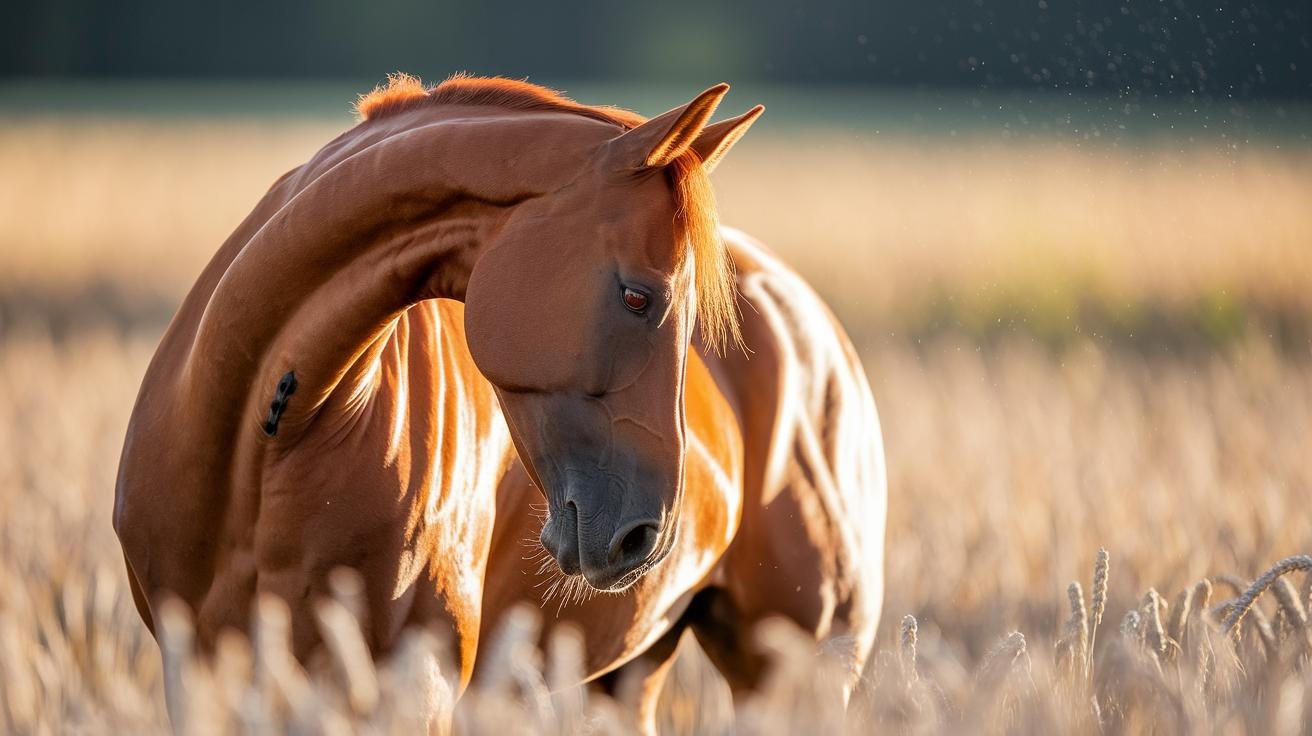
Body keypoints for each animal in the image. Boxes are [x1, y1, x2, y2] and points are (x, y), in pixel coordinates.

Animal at [113, 74, 886, 730]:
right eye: (638, 296)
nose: (646, 537)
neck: (271, 445)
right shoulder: (199, 673)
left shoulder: (412, 686)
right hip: (629, 671)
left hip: (799, 672)